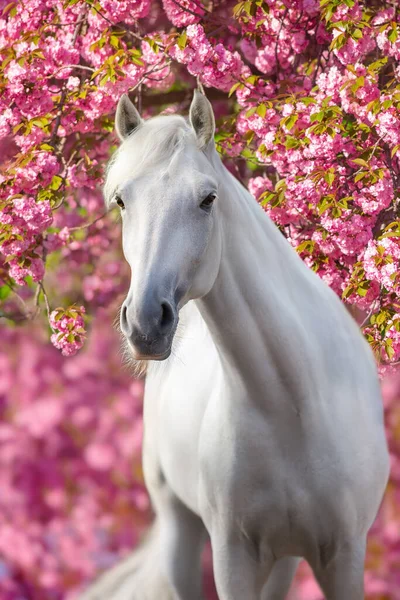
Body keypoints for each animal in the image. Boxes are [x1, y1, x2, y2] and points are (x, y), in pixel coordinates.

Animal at [80, 90, 388, 600]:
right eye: (122, 200)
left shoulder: (345, 554)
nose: (145, 322)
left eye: (208, 199)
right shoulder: (233, 555)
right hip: (180, 531)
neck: (293, 406)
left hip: (285, 557)